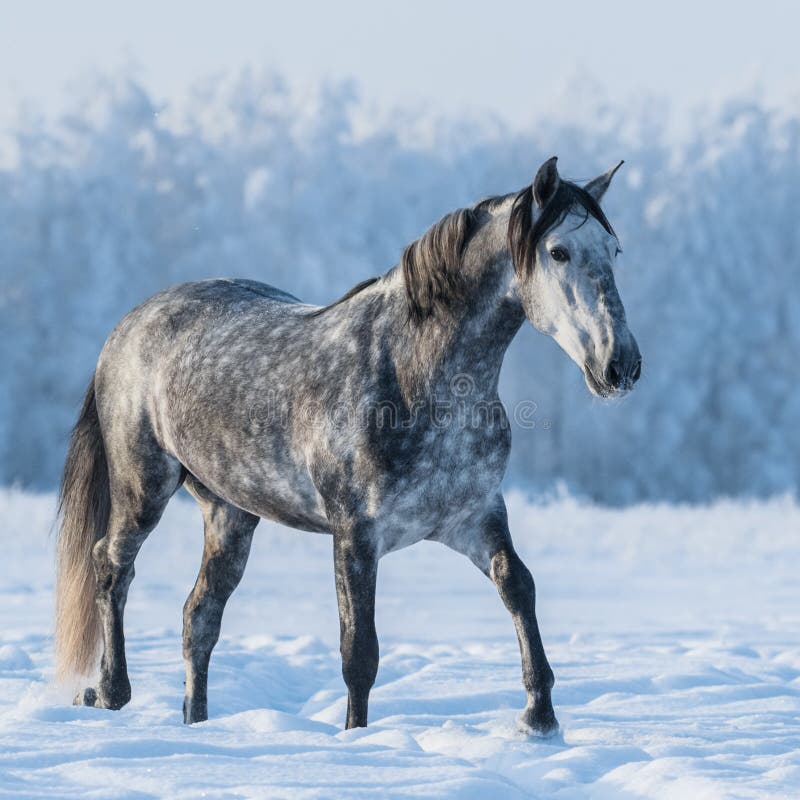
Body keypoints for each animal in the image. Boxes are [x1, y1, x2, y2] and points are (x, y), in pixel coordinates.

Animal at [55, 156, 641, 735]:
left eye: (614, 251)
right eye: (559, 251)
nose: (621, 365)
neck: (413, 372)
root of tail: (129, 325)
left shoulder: (473, 517)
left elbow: (518, 586)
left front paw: (540, 717)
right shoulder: (356, 534)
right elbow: (359, 651)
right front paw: (356, 739)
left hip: (229, 514)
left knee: (198, 617)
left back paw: (195, 723)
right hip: (144, 487)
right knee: (112, 566)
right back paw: (111, 691)